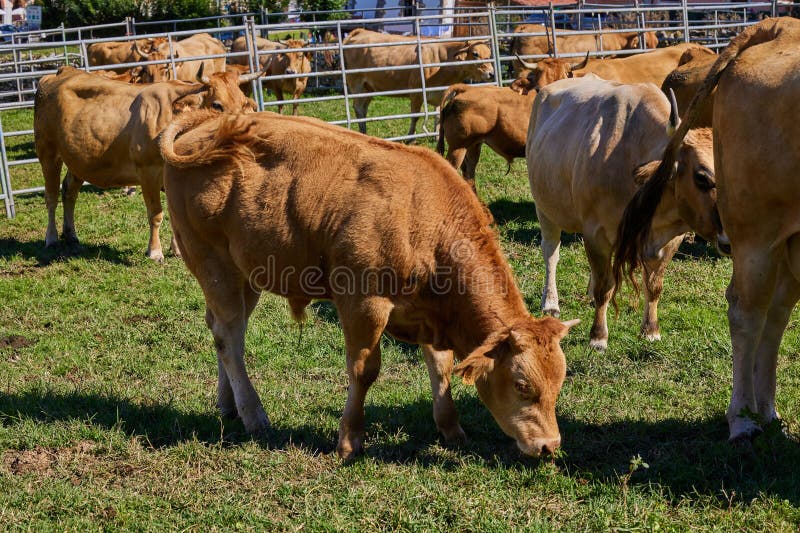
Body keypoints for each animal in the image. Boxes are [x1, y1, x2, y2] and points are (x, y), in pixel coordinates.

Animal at [34, 66, 260, 262]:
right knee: (51, 196)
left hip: (78, 160)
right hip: (47, 152)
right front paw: (155, 252)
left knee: (69, 191)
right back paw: (52, 238)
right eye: (217, 105)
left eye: (244, 103)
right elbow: (156, 214)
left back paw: (71, 236)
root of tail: (62, 71)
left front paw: (177, 250)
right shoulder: (148, 172)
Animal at [159, 109, 580, 459]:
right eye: (522, 385)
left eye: (560, 382)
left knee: (225, 330)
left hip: (247, 274)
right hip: (214, 264)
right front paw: (350, 439)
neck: (422, 218)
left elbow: (440, 366)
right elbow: (364, 370)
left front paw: (451, 428)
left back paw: (228, 403)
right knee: (228, 336)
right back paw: (253, 413)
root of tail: (208, 122)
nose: (550, 446)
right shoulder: (363, 302)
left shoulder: (428, 310)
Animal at [342, 28, 494, 137]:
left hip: (369, 87)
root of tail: (361, 31)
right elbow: (415, 116)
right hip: (356, 82)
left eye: (489, 54)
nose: (491, 73)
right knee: (358, 107)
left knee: (363, 108)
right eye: (475, 54)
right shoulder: (416, 92)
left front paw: (437, 137)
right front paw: (411, 137)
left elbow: (438, 116)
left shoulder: (440, 94)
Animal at [527, 75, 722, 350]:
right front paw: (598, 336)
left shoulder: (671, 238)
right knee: (551, 253)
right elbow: (605, 287)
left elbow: (654, 285)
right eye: (702, 177)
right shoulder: (596, 233)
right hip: (544, 207)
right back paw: (551, 302)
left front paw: (650, 330)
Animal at [613, 17, 800, 442]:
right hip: (759, 234)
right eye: (700, 177)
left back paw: (768, 410)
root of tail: (779, 26)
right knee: (747, 311)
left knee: (776, 311)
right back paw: (744, 418)